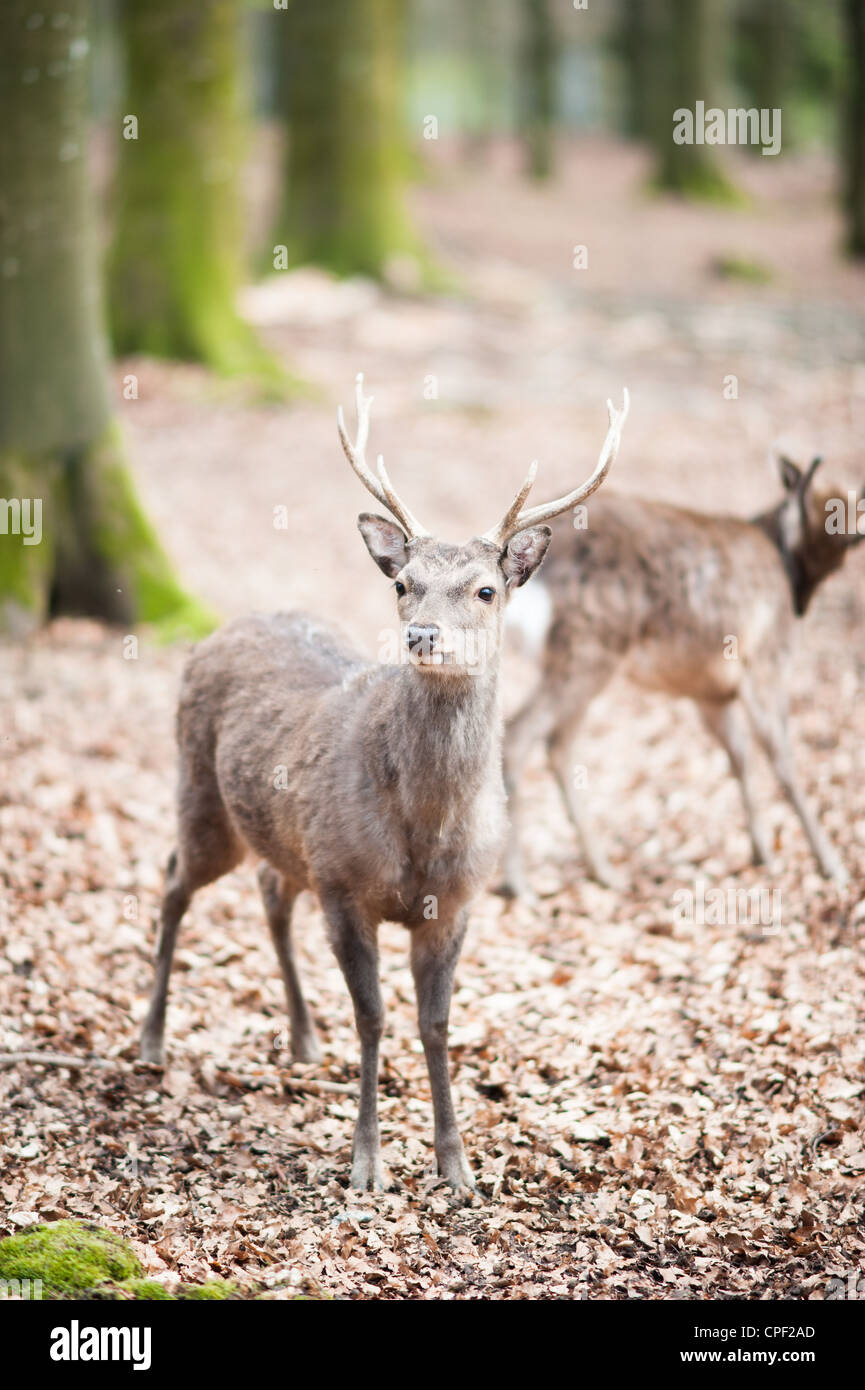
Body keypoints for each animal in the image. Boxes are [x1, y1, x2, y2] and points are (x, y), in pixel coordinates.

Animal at [139, 375, 629, 1192]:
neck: (423, 824)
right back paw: (149, 1039)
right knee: (175, 877)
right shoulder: (344, 884)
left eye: (486, 589)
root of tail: (221, 629)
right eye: (404, 582)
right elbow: (372, 1017)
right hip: (202, 796)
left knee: (270, 892)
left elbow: (436, 1023)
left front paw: (456, 1166)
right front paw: (366, 1162)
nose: (422, 633)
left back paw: (302, 1039)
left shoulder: (455, 902)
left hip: (282, 837)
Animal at [500, 453, 863, 899]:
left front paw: (762, 851)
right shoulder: (767, 661)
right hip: (587, 651)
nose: (856, 535)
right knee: (520, 736)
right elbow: (784, 764)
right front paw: (833, 865)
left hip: (580, 663)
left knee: (558, 744)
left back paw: (604, 871)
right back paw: (519, 882)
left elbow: (739, 757)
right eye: (831, 505)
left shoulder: (710, 693)